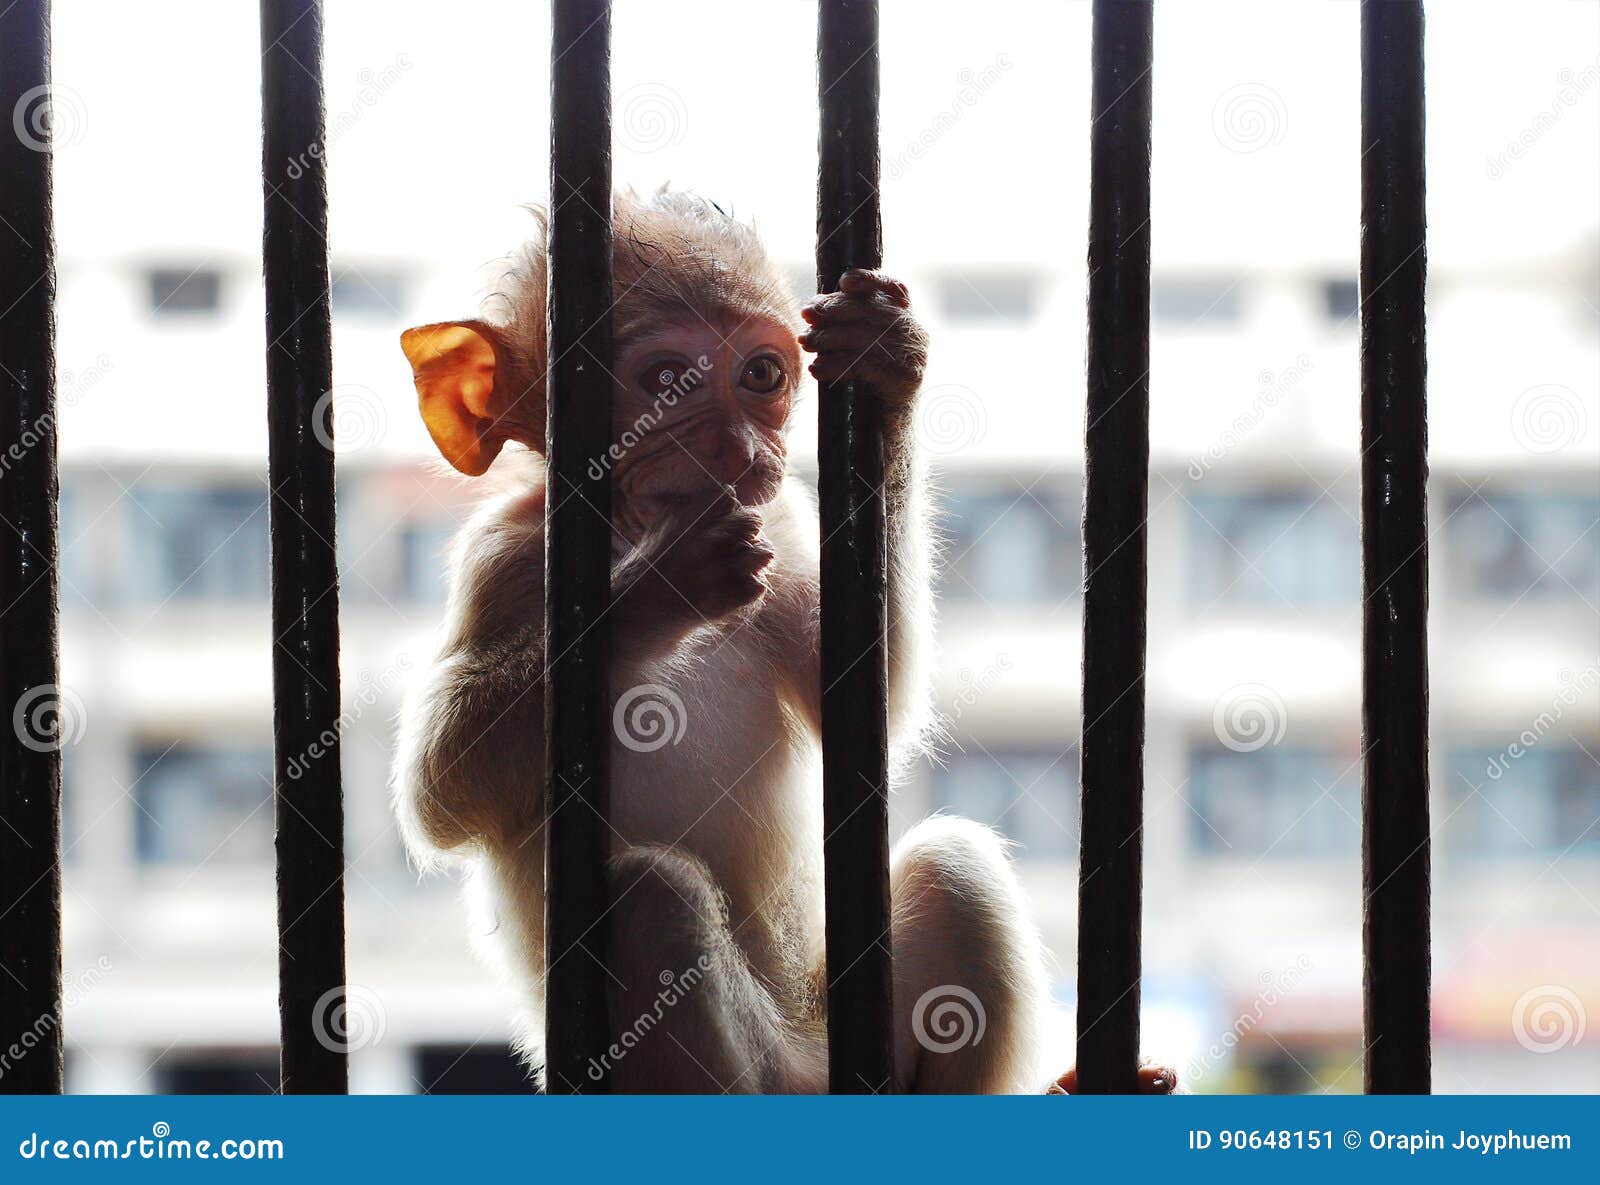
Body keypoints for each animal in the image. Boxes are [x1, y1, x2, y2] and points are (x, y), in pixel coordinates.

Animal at [392, 189, 1175, 1095]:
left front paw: (885, 364)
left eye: (761, 375)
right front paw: (659, 582)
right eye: (665, 382)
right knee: (652, 895)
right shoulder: (503, 558)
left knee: (951, 861)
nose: (738, 451)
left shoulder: (788, 528)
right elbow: (443, 791)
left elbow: (872, 702)